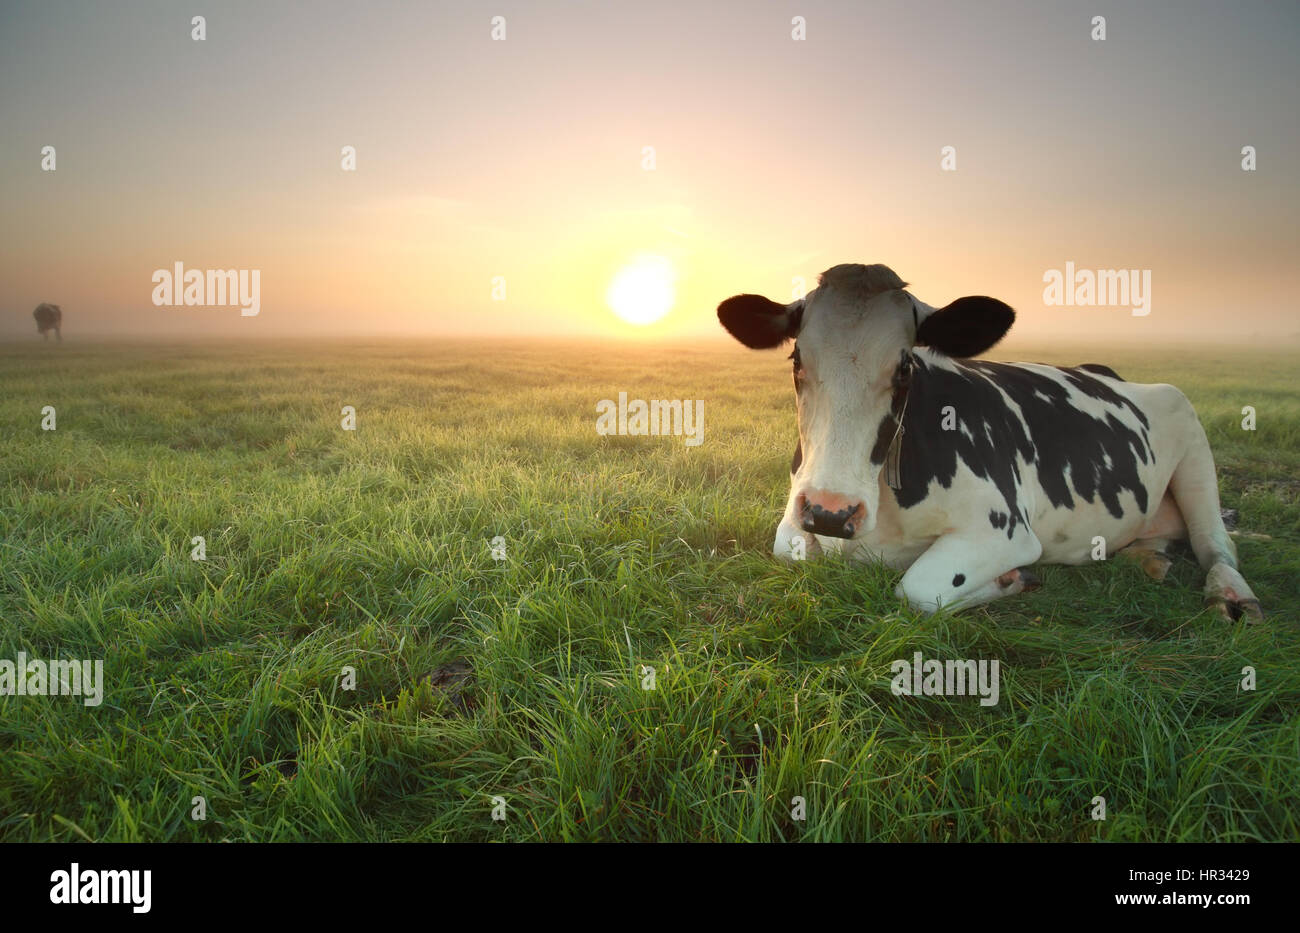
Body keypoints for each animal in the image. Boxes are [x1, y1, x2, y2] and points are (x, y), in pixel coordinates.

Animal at [718, 263, 1262, 621]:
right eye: (796, 360)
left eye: (904, 368)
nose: (831, 512)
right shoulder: (794, 517)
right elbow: (791, 549)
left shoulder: (1004, 529)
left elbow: (920, 590)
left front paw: (1011, 580)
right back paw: (1146, 558)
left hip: (1190, 433)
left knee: (1216, 545)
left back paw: (1231, 595)